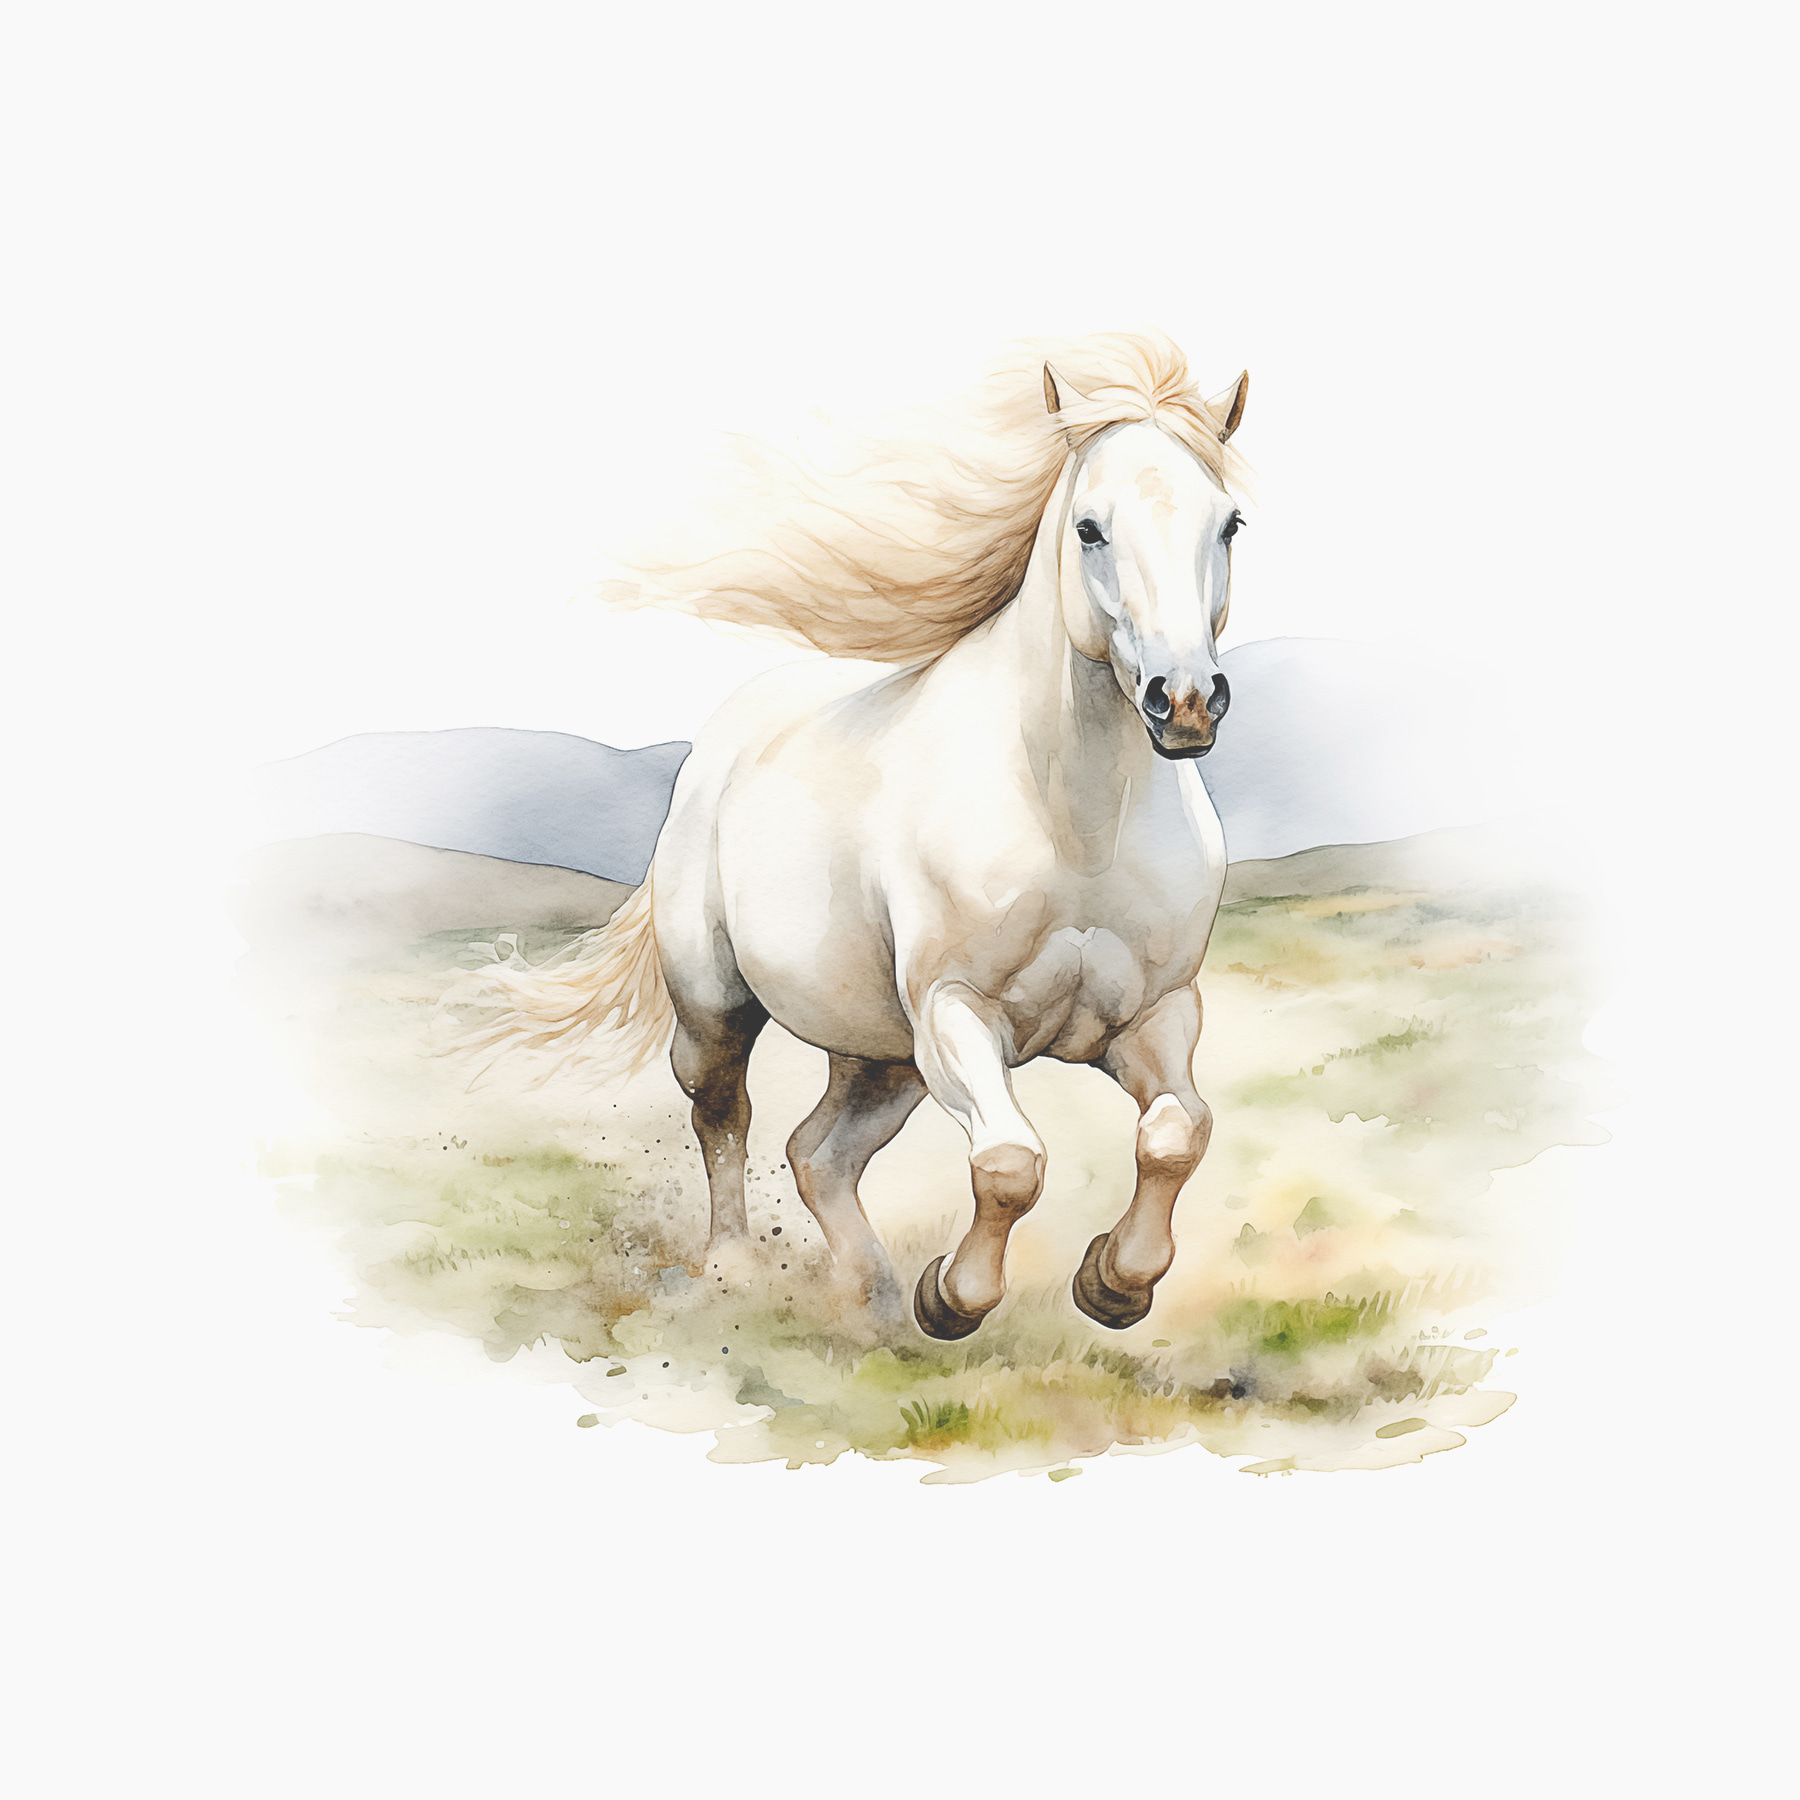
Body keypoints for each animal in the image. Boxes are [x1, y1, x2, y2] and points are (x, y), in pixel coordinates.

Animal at [463, 330, 1251, 1339]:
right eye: (1090, 529)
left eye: (1227, 524)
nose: (1183, 701)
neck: (1077, 829)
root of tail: (721, 741)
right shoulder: (956, 1013)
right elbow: (1011, 1163)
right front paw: (953, 1298)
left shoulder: (1155, 1013)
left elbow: (1177, 1135)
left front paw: (1113, 1284)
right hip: (722, 1009)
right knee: (726, 1116)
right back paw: (738, 1272)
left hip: (878, 1052)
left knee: (820, 1151)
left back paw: (870, 1295)